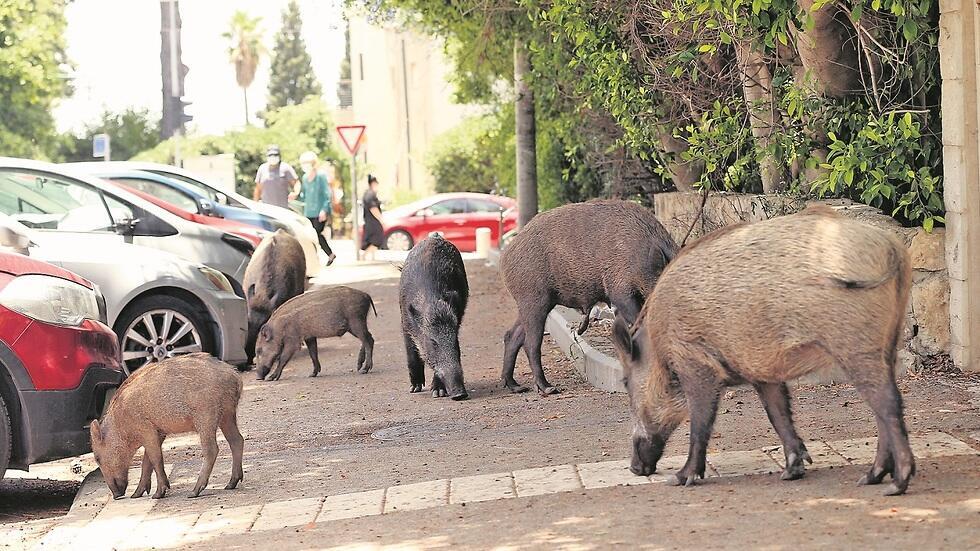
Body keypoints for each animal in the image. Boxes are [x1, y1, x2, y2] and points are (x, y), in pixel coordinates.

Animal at [89, 353, 244, 499]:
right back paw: (230, 484)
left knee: (212, 449)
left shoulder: (147, 429)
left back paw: (193, 492)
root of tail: (234, 375)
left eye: (97, 458)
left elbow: (155, 458)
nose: (116, 495)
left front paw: (157, 495)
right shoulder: (159, 432)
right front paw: (136, 495)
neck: (120, 424)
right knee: (237, 440)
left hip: (206, 416)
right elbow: (147, 462)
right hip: (227, 414)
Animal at [399, 235, 469, 400]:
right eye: (433, 342)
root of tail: (435, 236)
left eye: (455, 340)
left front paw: (438, 393)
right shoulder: (405, 324)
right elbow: (412, 354)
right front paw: (414, 389)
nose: (460, 394)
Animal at [500, 200, 677, 395]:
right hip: (534, 298)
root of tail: (505, 256)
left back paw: (516, 387)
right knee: (531, 343)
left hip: (531, 303)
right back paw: (548, 389)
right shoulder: (619, 290)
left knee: (512, 335)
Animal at [610, 204, 915, 495]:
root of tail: (891, 246)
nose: (634, 468)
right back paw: (870, 478)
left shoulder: (696, 363)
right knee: (881, 406)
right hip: (888, 341)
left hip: (856, 344)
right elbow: (777, 413)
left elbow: (700, 422)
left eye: (625, 382)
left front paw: (679, 479)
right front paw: (791, 472)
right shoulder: (763, 373)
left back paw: (895, 485)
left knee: (887, 403)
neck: (658, 344)